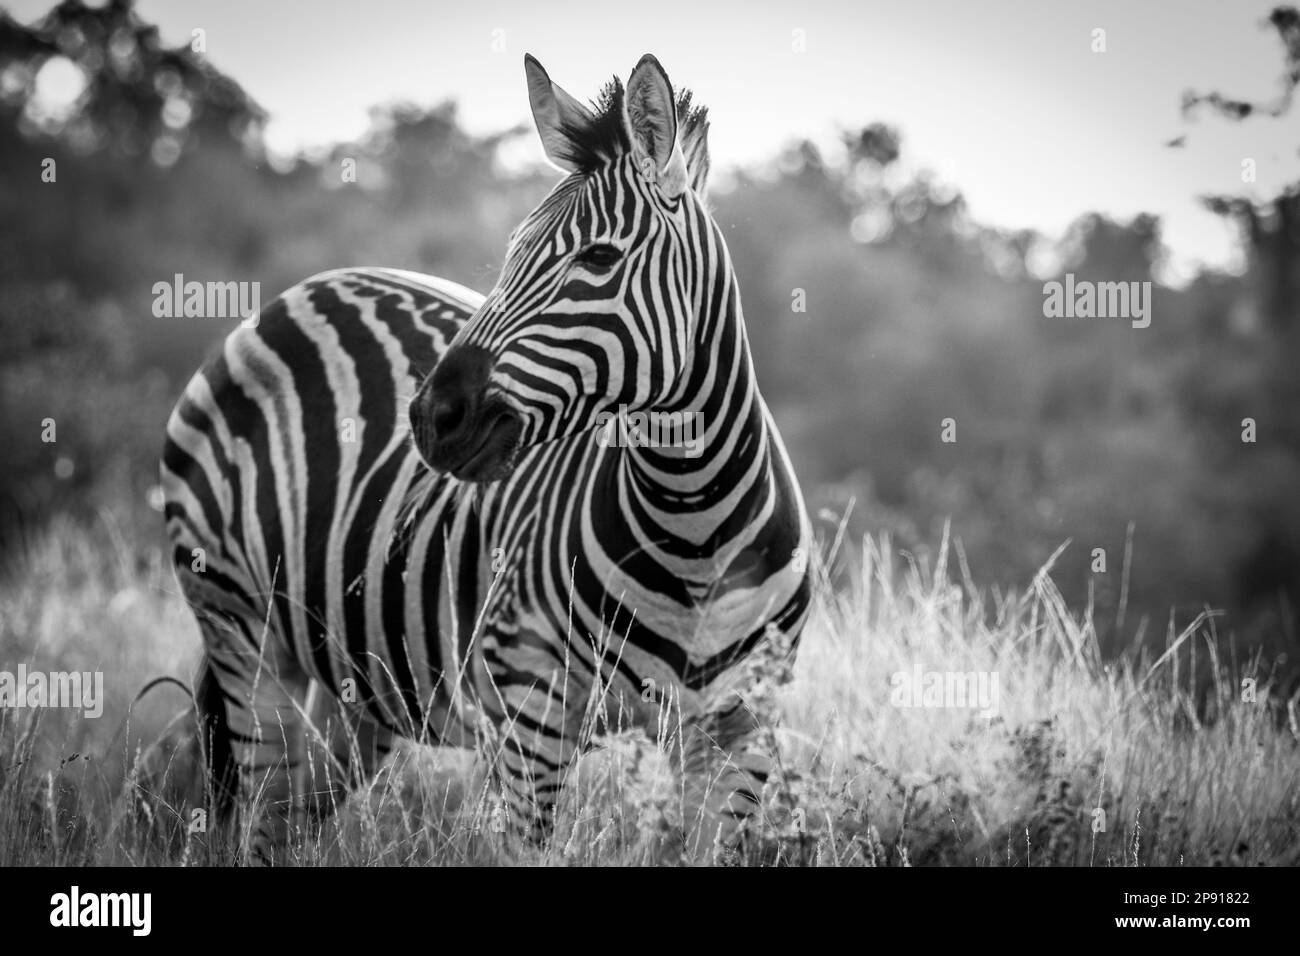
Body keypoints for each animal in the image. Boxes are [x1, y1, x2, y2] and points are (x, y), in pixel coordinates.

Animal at [161, 53, 813, 858]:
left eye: (599, 257)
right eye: (511, 252)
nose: (431, 417)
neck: (696, 525)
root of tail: (290, 297)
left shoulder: (740, 731)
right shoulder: (527, 709)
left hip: (348, 690)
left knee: (286, 820)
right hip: (240, 630)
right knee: (257, 813)